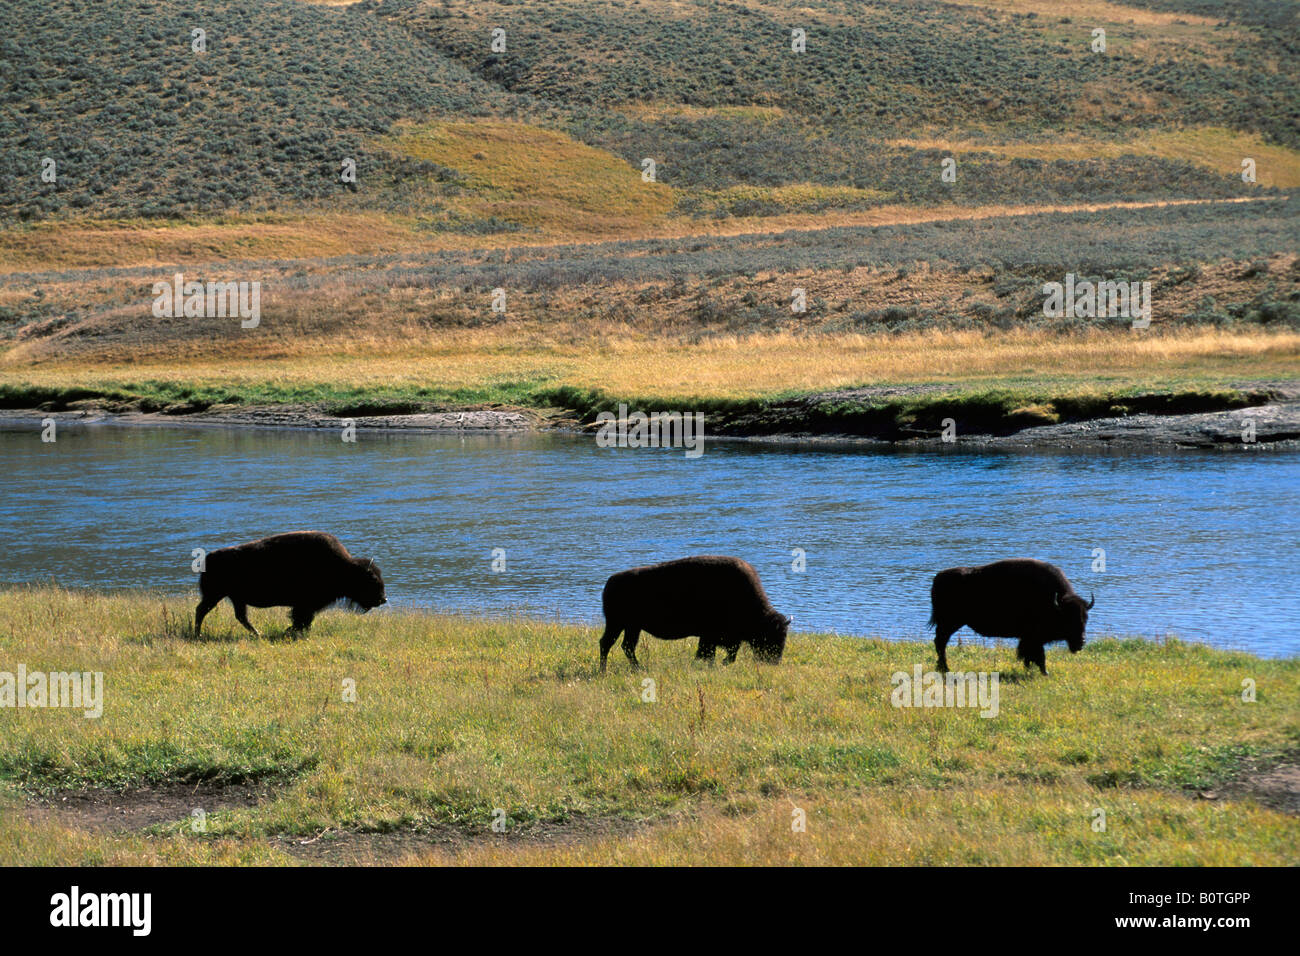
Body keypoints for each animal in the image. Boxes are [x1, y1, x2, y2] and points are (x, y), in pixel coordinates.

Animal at [194, 531, 386, 637]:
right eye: (372, 580)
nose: (383, 599)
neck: (343, 567)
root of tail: (207, 558)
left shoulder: (306, 606)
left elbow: (304, 620)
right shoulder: (305, 605)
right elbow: (300, 619)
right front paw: (292, 631)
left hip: (234, 598)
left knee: (240, 617)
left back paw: (258, 634)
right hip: (215, 595)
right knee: (201, 610)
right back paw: (198, 634)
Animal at [598, 555, 790, 673]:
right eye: (770, 636)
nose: (775, 661)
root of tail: (610, 582)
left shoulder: (720, 638)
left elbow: (727, 653)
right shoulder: (711, 636)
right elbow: (710, 652)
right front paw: (712, 664)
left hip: (632, 627)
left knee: (626, 646)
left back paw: (637, 668)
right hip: (616, 624)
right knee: (607, 644)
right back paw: (604, 671)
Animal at [928, 558, 1093, 675]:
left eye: (1085, 618)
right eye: (1067, 619)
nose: (1081, 642)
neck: (1054, 602)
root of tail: (937, 578)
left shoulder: (1029, 638)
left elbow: (1029, 654)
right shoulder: (1033, 637)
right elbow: (1037, 654)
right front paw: (1044, 672)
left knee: (940, 641)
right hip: (950, 622)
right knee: (941, 641)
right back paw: (945, 668)